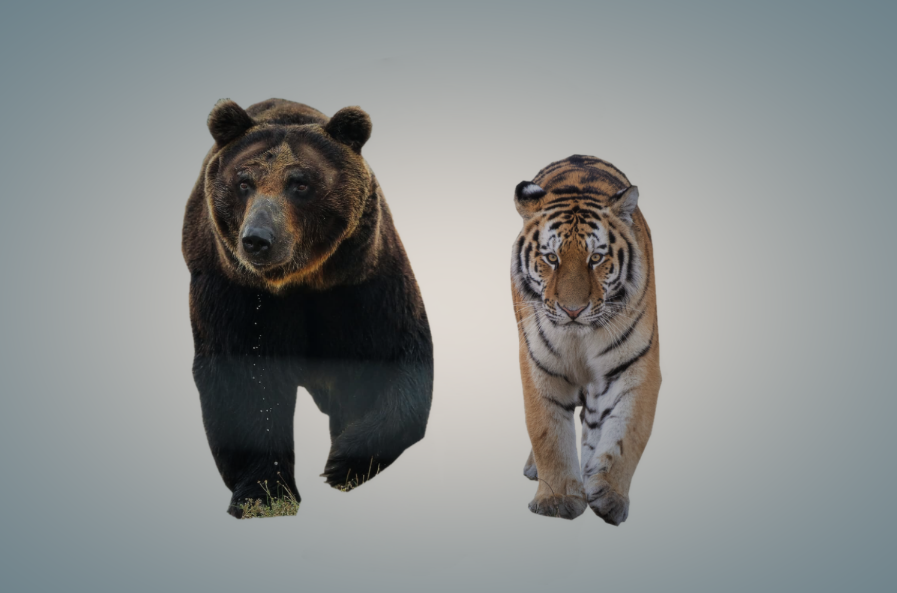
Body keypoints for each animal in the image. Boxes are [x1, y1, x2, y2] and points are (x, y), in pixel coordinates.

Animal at [181, 98, 434, 517]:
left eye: (300, 183)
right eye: (244, 182)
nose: (257, 239)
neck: (301, 280)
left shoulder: (362, 284)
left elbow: (392, 362)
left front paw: (341, 462)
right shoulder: (239, 292)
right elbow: (246, 383)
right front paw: (265, 495)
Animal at [510, 155, 661, 524]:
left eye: (596, 258)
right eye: (551, 258)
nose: (573, 310)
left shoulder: (636, 365)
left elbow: (627, 433)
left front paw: (609, 493)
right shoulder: (538, 363)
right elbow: (547, 431)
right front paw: (557, 500)